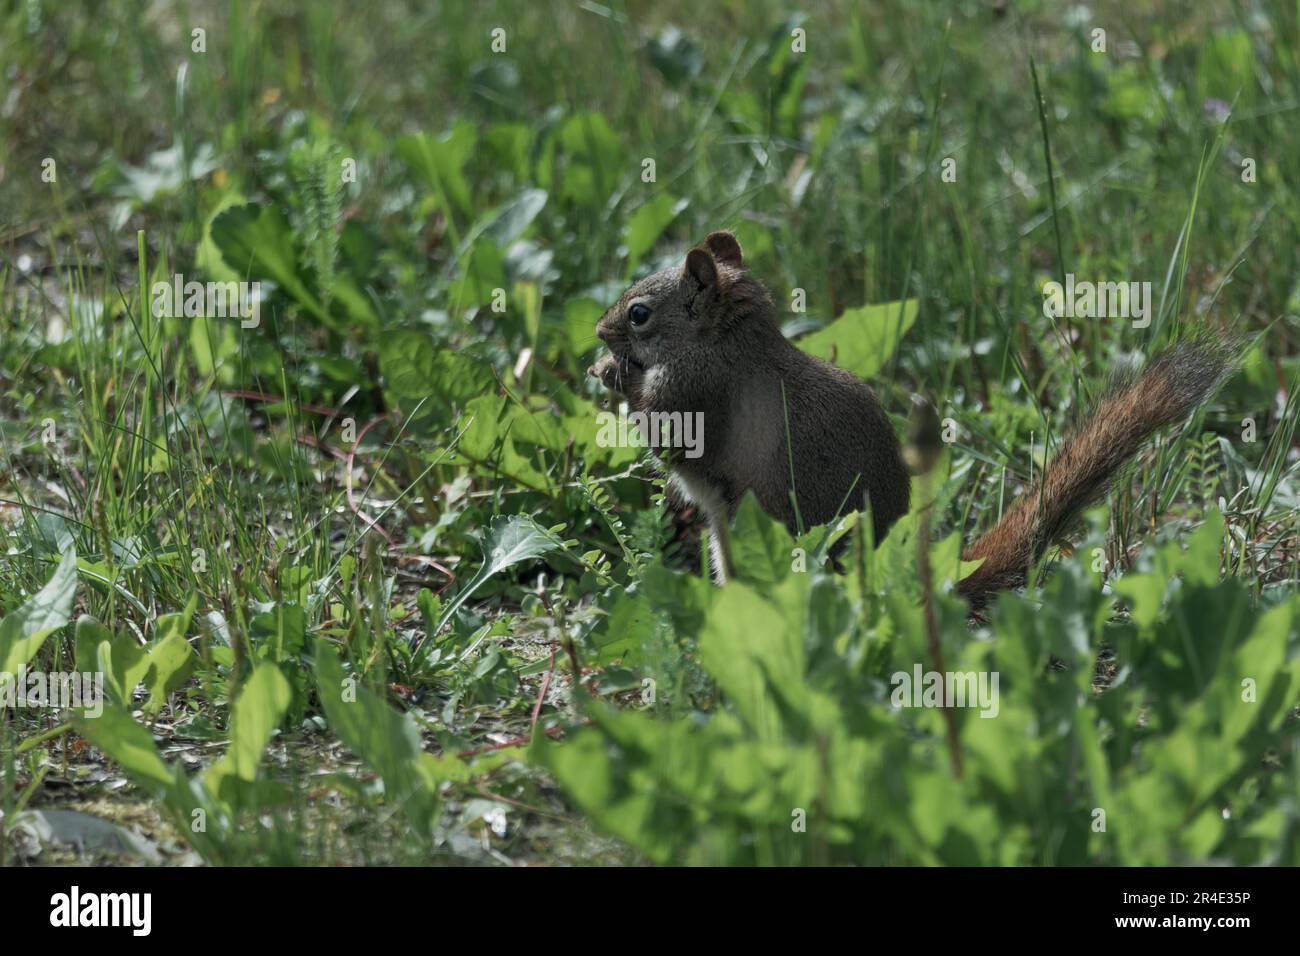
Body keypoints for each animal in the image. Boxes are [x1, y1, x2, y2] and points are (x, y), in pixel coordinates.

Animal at [588, 230, 1235, 605]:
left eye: (639, 314)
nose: (599, 332)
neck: (725, 339)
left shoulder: (697, 392)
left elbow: (668, 435)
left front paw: (613, 376)